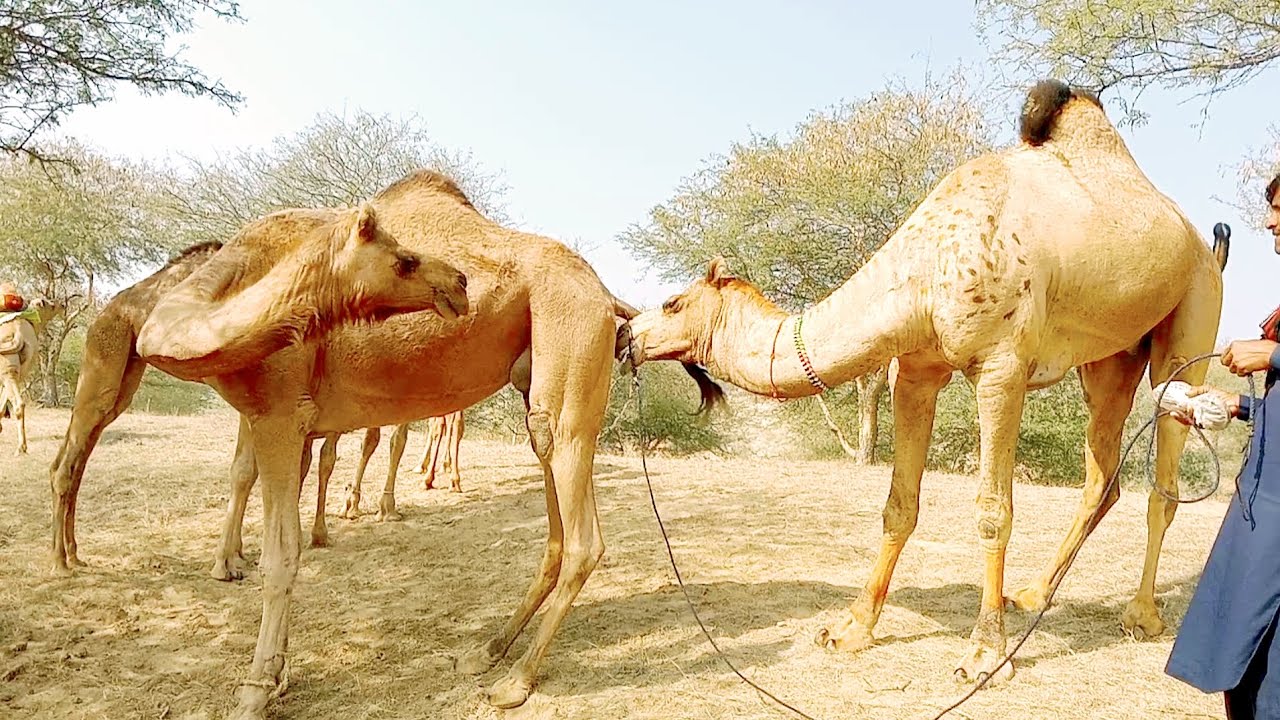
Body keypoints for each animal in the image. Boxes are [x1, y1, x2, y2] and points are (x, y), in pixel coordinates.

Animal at [53, 170, 720, 717]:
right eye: (402, 259)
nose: (459, 283)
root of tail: (604, 293)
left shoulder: (277, 413)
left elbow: (280, 552)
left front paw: (255, 689)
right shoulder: (293, 420)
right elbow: (286, 534)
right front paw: (281, 674)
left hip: (570, 336)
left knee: (584, 534)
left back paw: (516, 682)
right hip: (538, 378)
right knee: (553, 504)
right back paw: (488, 650)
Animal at [623, 80, 1227, 685]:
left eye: (673, 303)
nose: (628, 334)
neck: (927, 263)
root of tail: (1208, 244)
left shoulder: (1002, 368)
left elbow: (993, 511)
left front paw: (984, 655)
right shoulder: (915, 371)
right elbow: (899, 504)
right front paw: (850, 628)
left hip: (1196, 314)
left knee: (1166, 468)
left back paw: (1140, 615)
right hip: (1110, 360)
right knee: (1102, 475)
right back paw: (1031, 595)